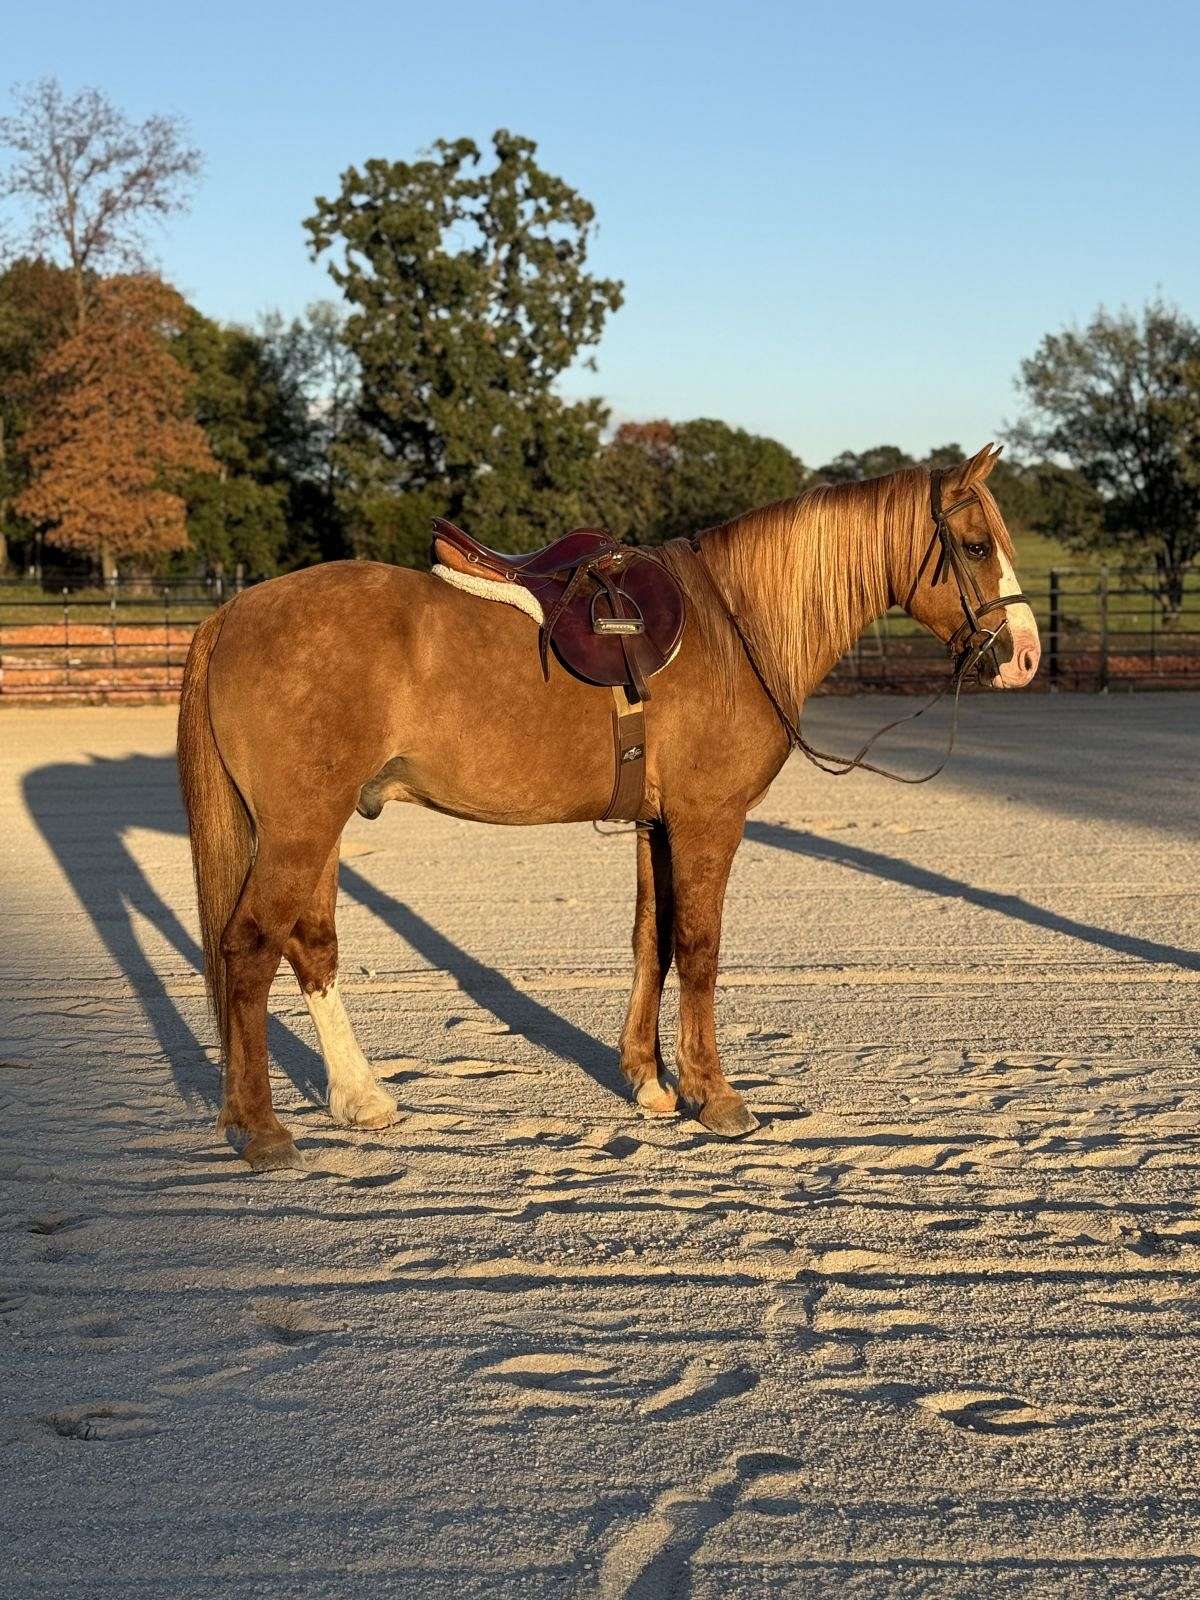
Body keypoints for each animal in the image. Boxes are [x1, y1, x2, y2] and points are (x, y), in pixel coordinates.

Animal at [177, 443, 1040, 1170]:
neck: (733, 626)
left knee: (311, 944)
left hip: (316, 829)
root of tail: (232, 613)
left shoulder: (657, 824)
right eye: (973, 547)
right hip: (298, 829)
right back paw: (262, 1130)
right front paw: (715, 1096)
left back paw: (360, 1100)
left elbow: (649, 941)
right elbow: (698, 947)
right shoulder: (707, 820)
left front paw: (652, 1082)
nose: (1027, 656)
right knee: (249, 948)